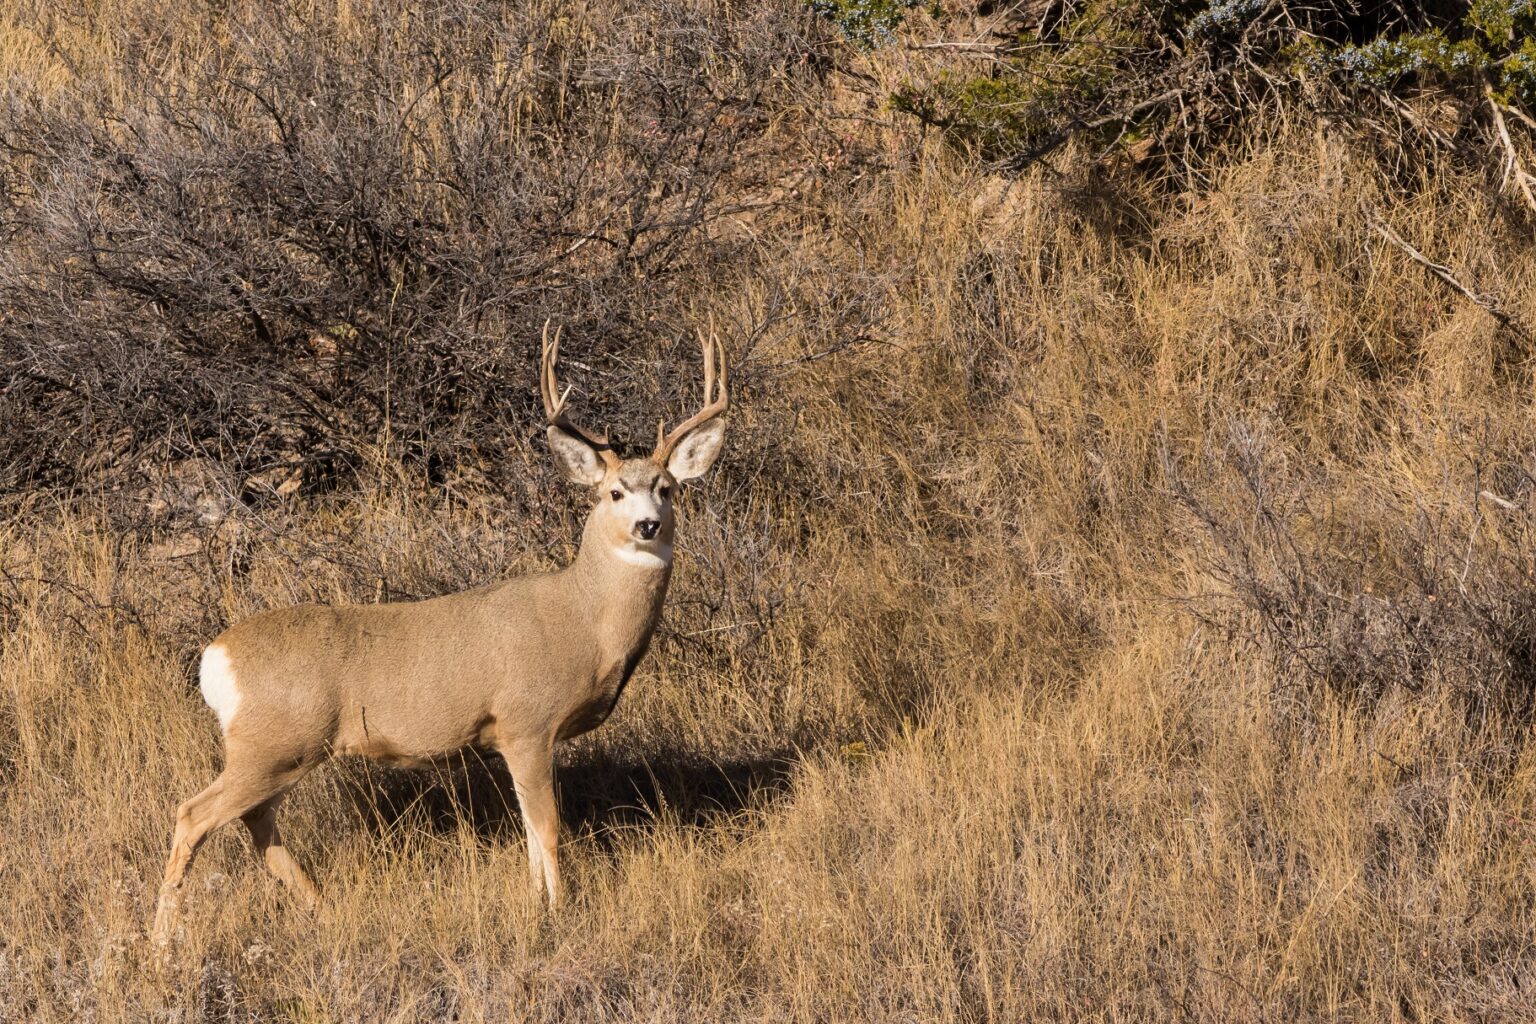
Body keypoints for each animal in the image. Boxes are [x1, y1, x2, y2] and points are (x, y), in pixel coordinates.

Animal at [151, 324, 729, 944]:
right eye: (614, 492)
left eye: (667, 488)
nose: (647, 524)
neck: (584, 618)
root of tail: (215, 657)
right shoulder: (527, 722)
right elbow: (547, 829)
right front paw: (560, 911)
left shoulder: (511, 738)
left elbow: (530, 834)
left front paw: (535, 903)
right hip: (273, 741)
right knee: (194, 814)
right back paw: (163, 940)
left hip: (283, 749)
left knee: (256, 820)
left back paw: (321, 908)